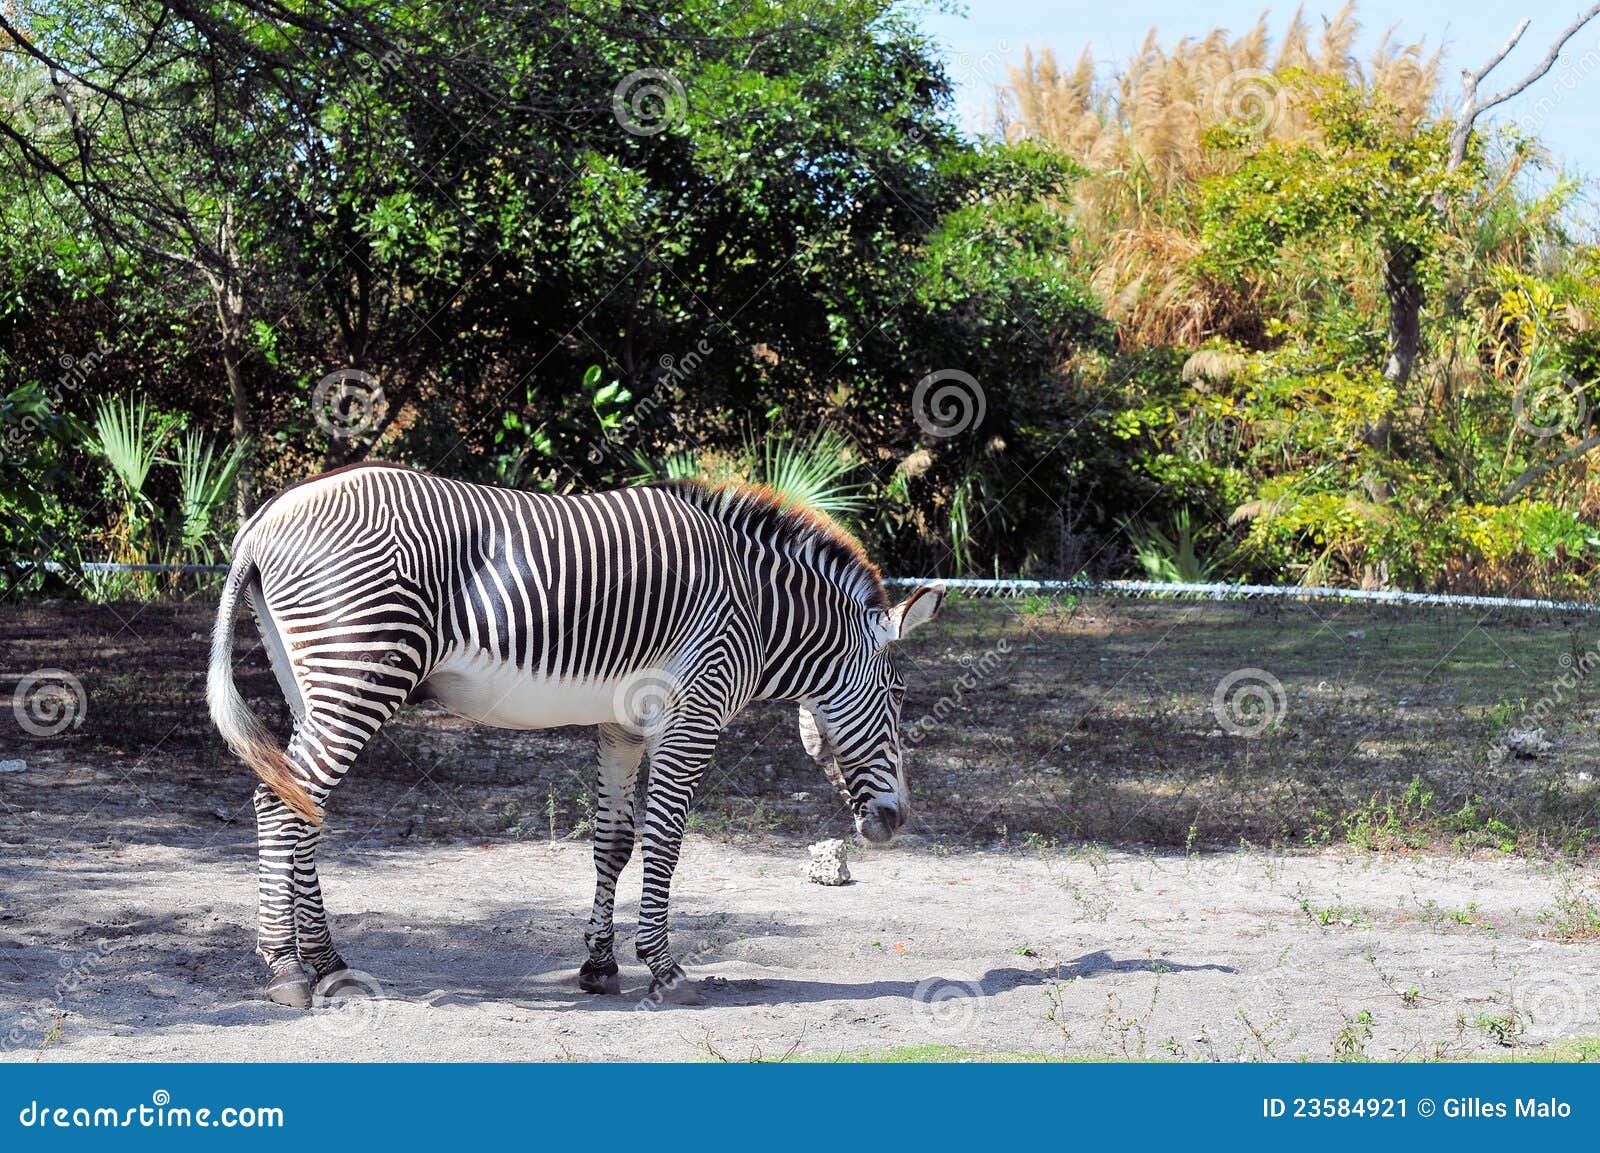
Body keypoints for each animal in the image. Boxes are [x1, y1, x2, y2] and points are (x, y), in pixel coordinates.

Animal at [207, 462, 944, 1008]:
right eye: (898, 695)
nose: (898, 819)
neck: (759, 612)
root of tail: (263, 523)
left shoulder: (622, 724)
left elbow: (613, 843)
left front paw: (600, 964)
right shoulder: (695, 713)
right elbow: (666, 841)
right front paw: (664, 967)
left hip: (312, 679)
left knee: (303, 804)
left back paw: (329, 962)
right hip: (360, 672)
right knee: (281, 804)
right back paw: (285, 969)